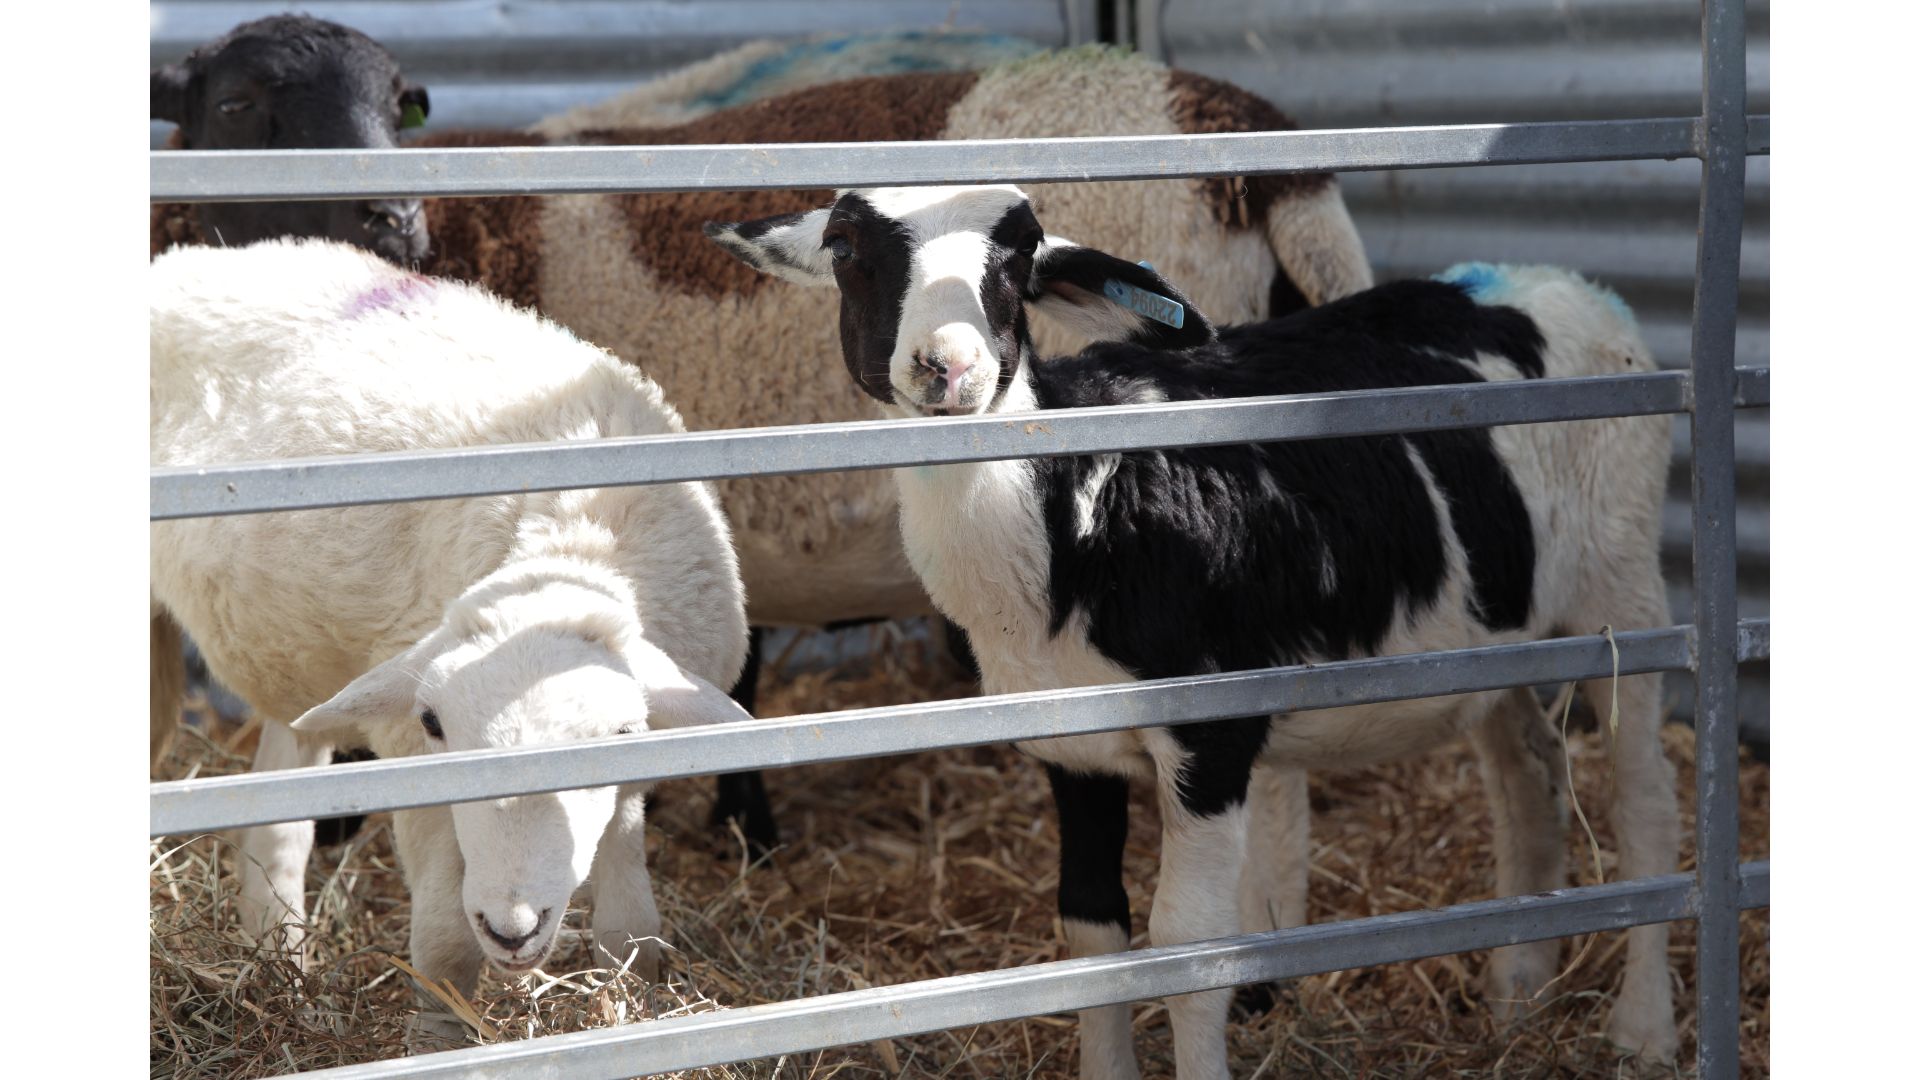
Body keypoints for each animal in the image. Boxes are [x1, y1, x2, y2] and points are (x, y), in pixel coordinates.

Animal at [151, 238, 752, 1046]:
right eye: (438, 725)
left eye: (622, 735)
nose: (511, 927)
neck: (573, 545)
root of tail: (189, 257)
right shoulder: (416, 766)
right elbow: (443, 945)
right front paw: (439, 1041)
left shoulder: (631, 788)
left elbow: (631, 929)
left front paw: (636, 1010)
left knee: (279, 827)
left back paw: (283, 971)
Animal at [708, 185, 1682, 1075]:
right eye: (844, 248)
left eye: (1018, 253)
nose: (947, 366)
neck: (1071, 504)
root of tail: (1563, 282)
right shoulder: (1069, 745)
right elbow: (1091, 933)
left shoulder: (1211, 737)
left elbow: (1190, 950)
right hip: (1497, 638)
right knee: (1531, 777)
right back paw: (1520, 996)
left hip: (1625, 586)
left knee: (1643, 803)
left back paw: (1643, 1028)